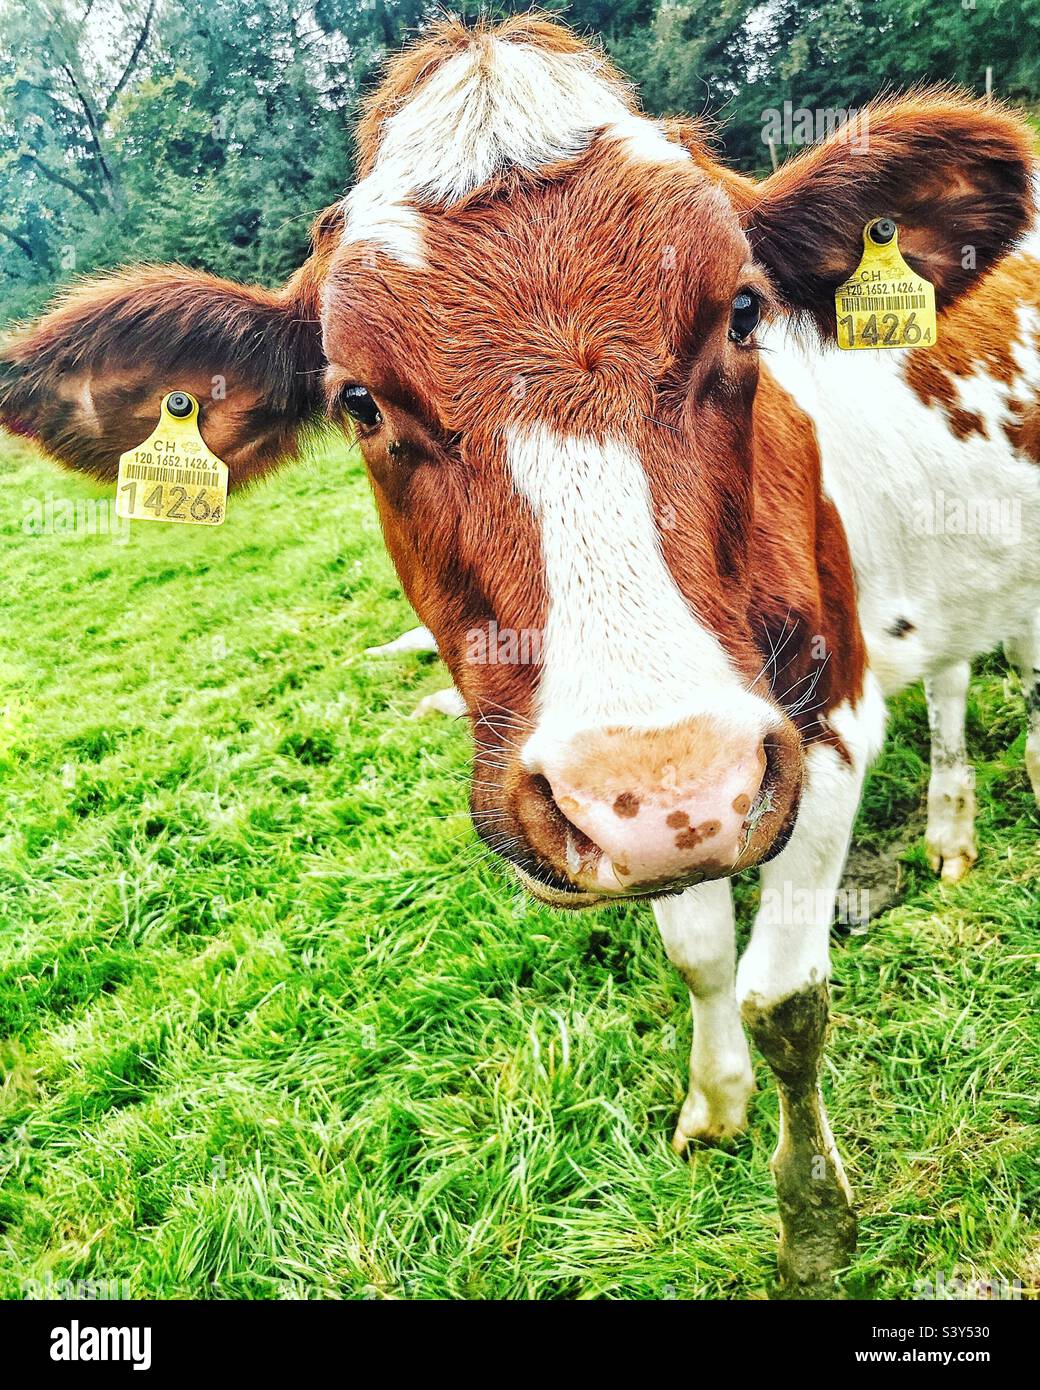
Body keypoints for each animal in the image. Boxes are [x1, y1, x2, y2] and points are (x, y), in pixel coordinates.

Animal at [1, 15, 1036, 1295]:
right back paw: (948, 826)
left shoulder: (821, 728)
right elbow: (700, 961)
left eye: (741, 314)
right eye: (358, 400)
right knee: (946, 670)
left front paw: (808, 1223)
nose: (660, 783)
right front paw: (713, 1106)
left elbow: (783, 998)